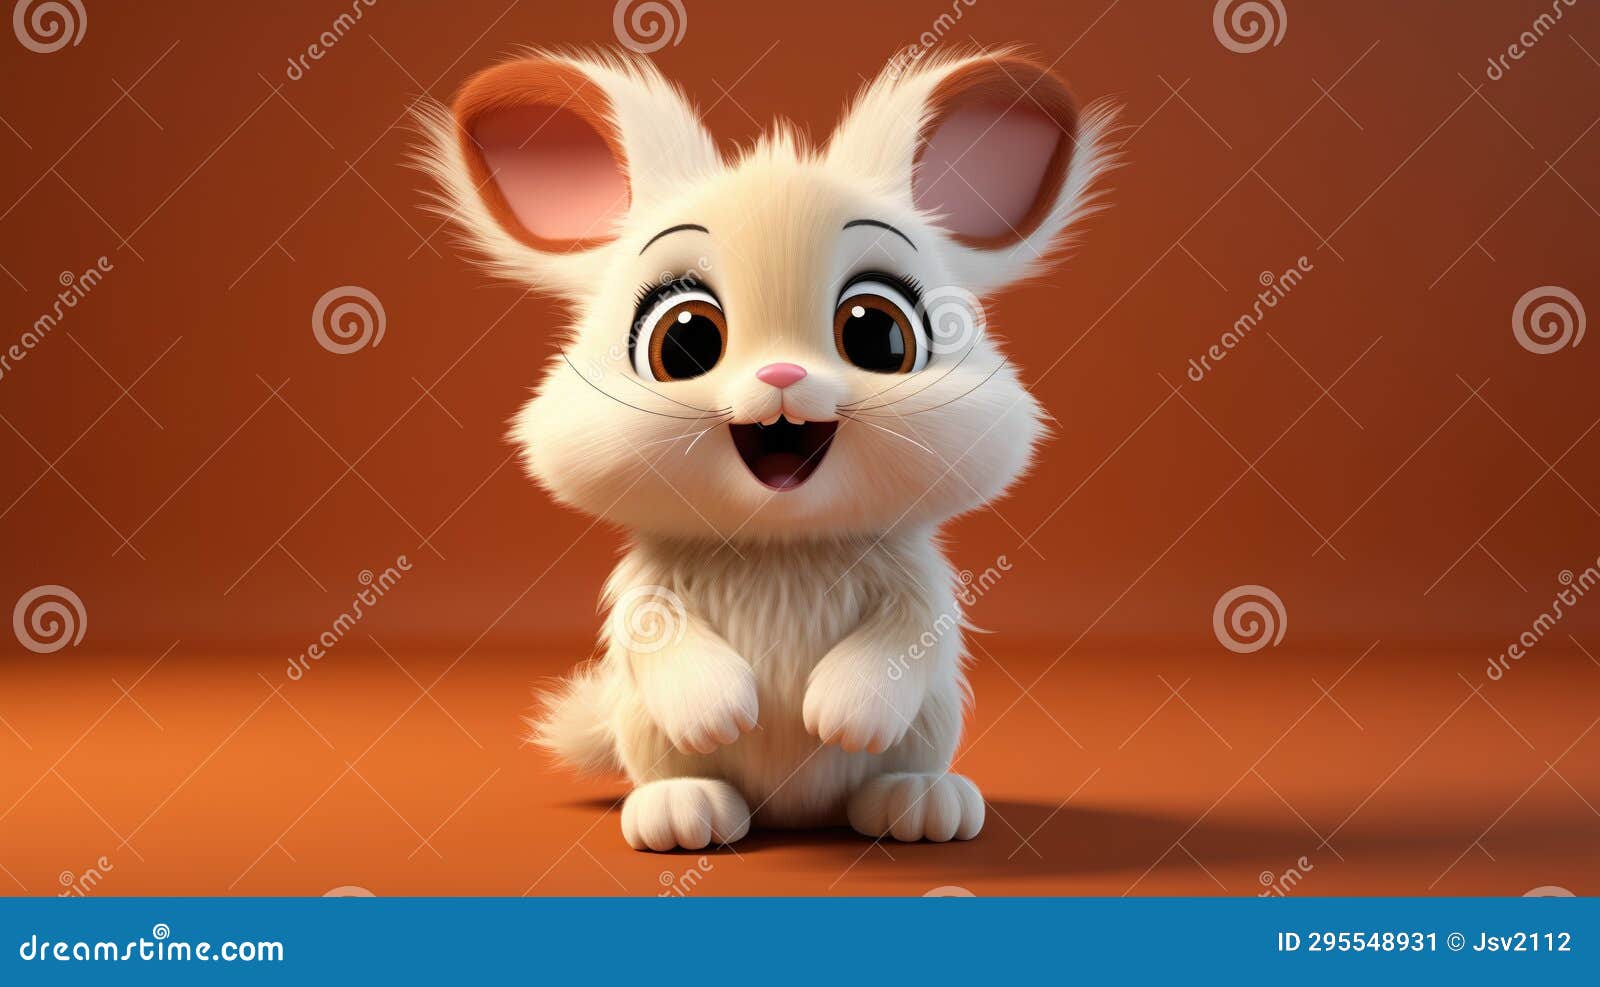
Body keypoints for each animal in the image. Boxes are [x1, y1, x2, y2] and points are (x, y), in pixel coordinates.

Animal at [416, 46, 1113, 851]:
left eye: (879, 332)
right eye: (684, 340)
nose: (783, 375)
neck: (781, 548)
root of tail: (793, 813)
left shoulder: (918, 586)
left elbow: (911, 635)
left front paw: (843, 711)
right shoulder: (648, 586)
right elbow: (655, 634)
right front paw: (719, 707)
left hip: (930, 723)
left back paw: (917, 801)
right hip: (645, 730)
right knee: (674, 771)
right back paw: (682, 808)